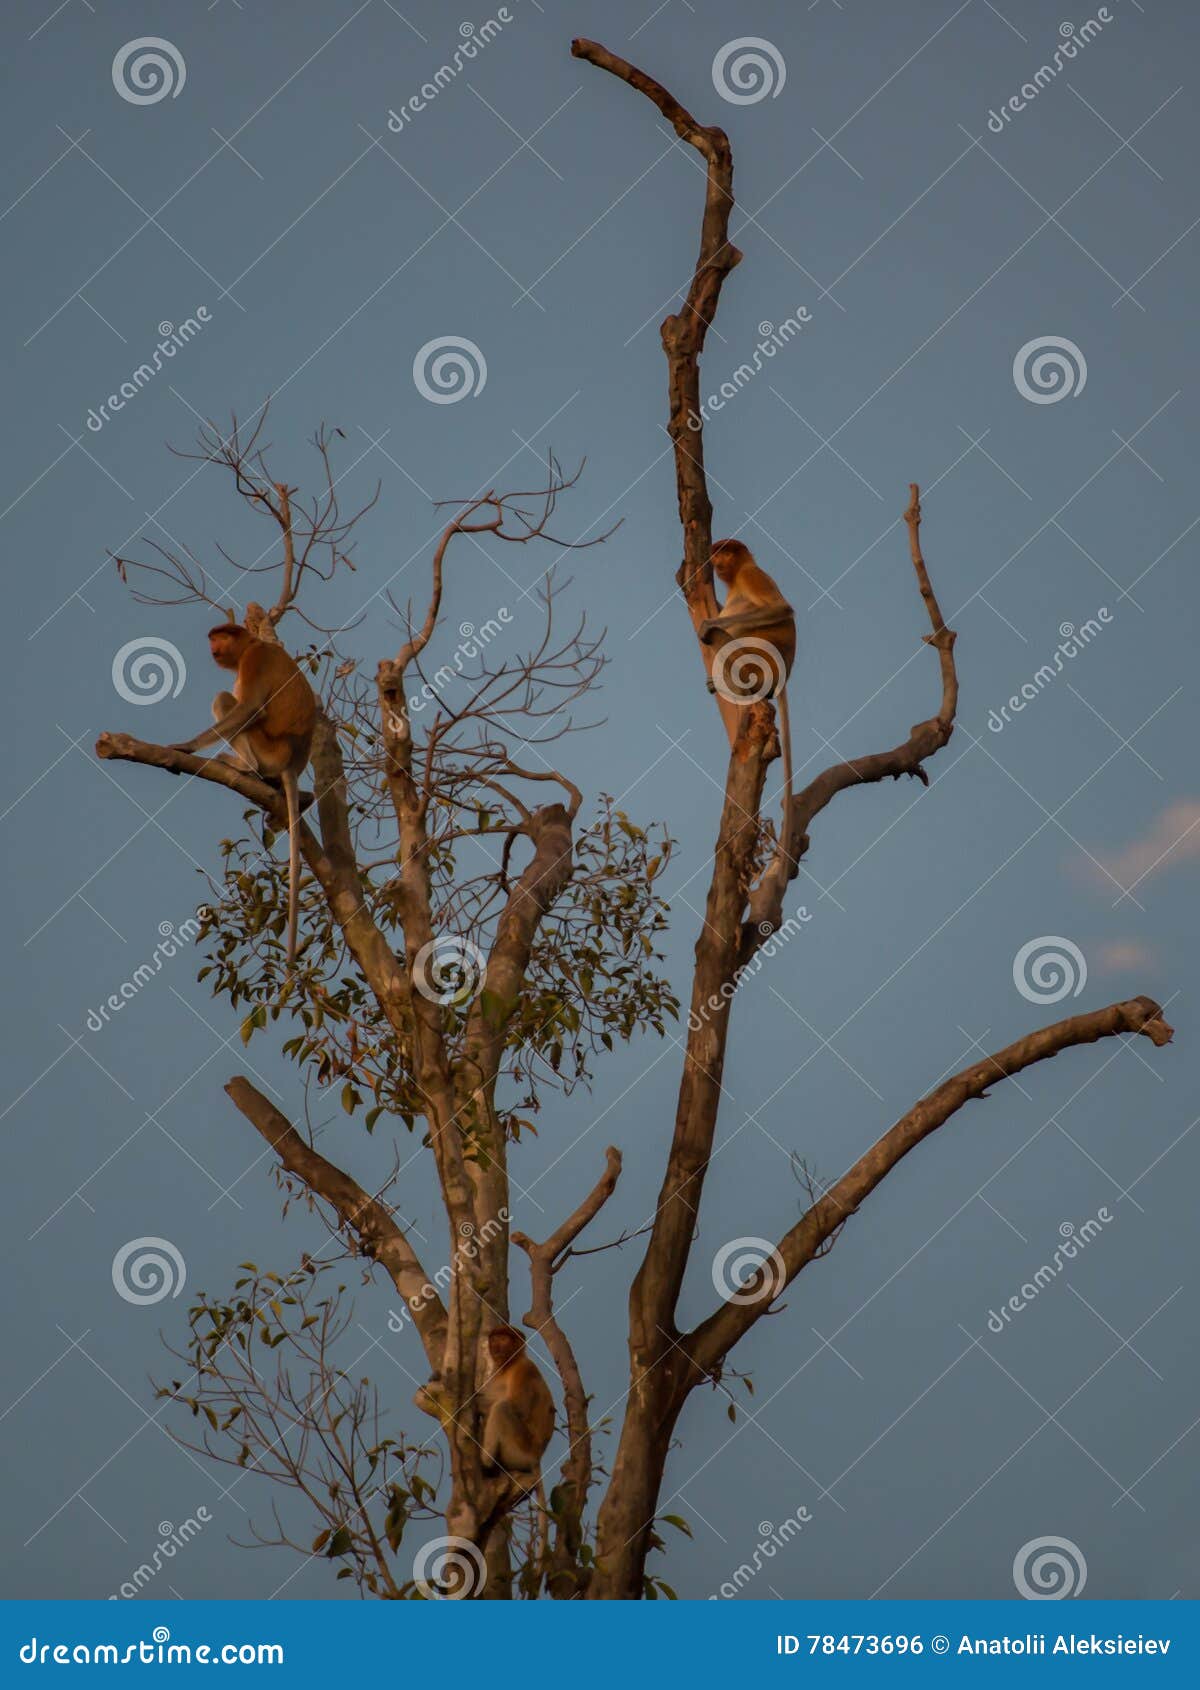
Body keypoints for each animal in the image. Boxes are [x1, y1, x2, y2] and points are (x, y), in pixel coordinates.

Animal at [170, 624, 316, 966]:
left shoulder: (254, 660)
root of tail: (291, 763)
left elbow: (250, 708)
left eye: (220, 636)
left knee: (226, 700)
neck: (253, 643)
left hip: (268, 751)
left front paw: (187, 746)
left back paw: (245, 766)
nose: (213, 645)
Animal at [480, 1325, 555, 1484]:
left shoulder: (524, 1369)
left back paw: (485, 1463)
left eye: (503, 1338)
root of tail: (536, 1459)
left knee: (501, 1408)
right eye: (494, 1338)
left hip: (521, 1448)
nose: (496, 1345)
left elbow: (519, 1408)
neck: (509, 1365)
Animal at [698, 538, 796, 815]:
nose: (717, 562)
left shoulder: (750, 576)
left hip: (757, 663)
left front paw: (709, 623)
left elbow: (780, 608)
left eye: (727, 552)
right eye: (716, 553)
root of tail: (781, 678)